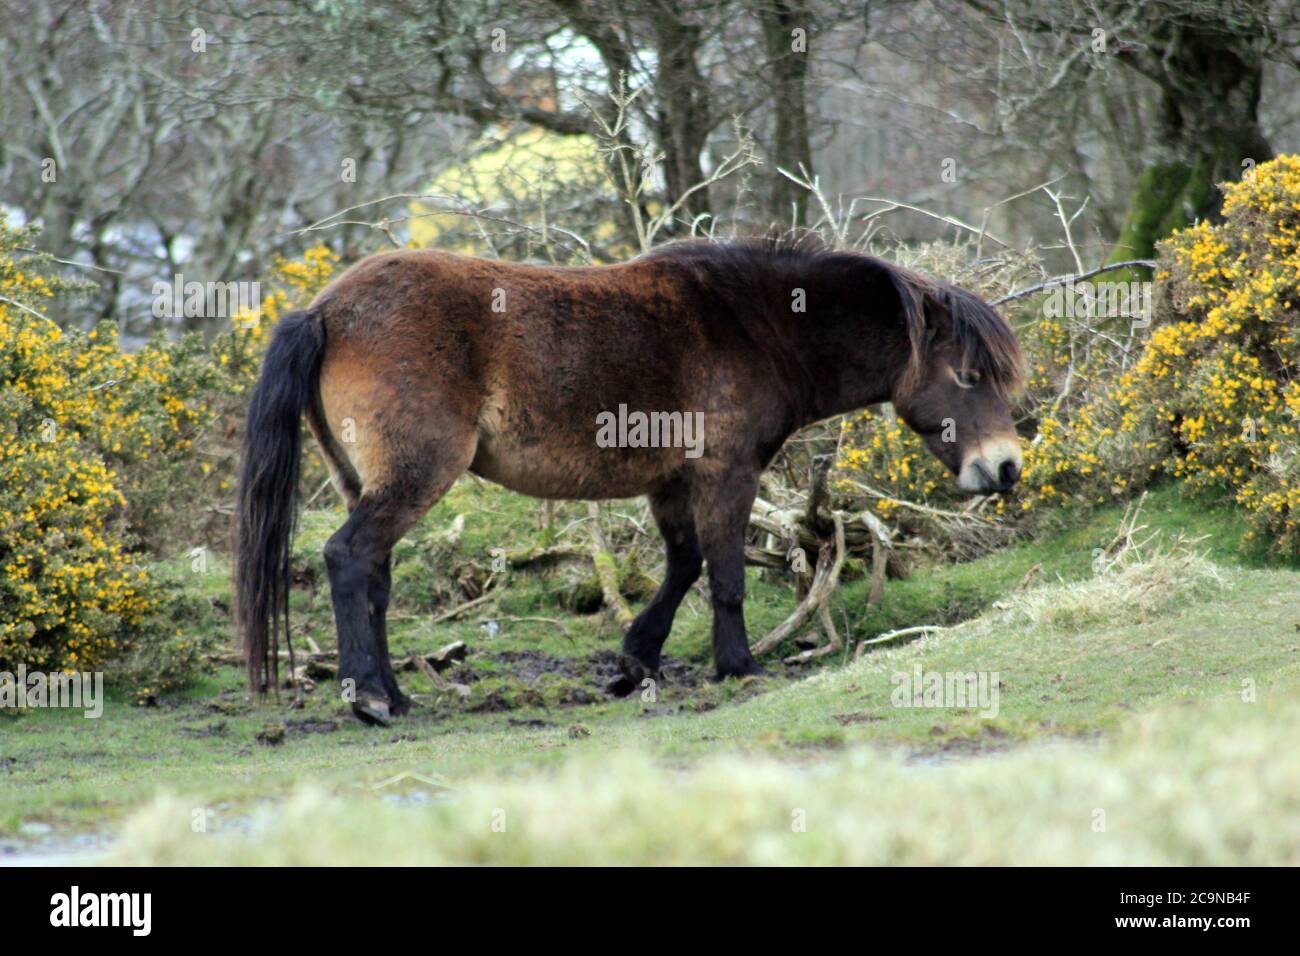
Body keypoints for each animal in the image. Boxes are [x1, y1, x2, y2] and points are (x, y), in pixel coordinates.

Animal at [236, 238, 1025, 724]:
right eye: (968, 375)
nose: (1006, 467)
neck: (757, 324)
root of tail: (324, 311)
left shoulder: (670, 482)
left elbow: (683, 566)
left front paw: (634, 662)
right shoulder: (727, 473)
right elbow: (726, 575)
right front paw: (737, 666)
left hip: (366, 482)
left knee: (372, 577)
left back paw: (395, 697)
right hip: (413, 476)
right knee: (347, 558)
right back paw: (368, 697)